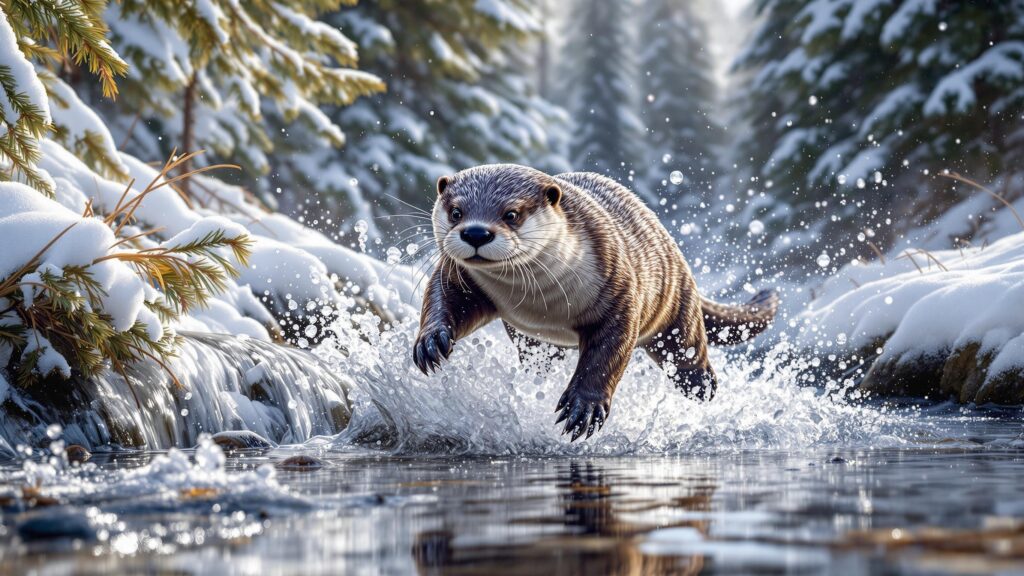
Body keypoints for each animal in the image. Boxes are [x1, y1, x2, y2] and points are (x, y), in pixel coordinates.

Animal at [413, 164, 779, 441]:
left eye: (511, 214)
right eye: (456, 212)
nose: (475, 232)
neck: (542, 301)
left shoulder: (618, 285)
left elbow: (607, 352)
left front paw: (583, 408)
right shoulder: (459, 275)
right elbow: (442, 298)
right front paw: (430, 342)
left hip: (678, 308)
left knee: (688, 348)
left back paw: (700, 385)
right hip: (535, 341)